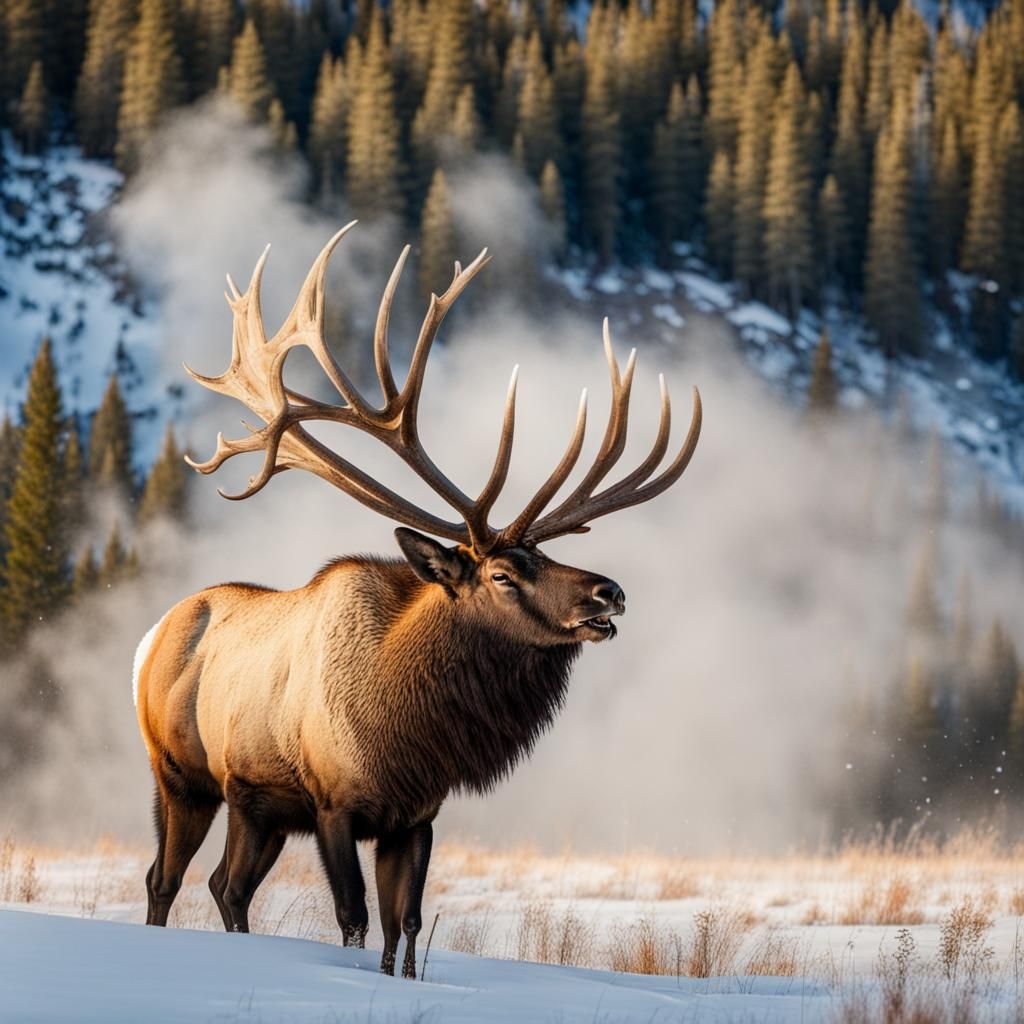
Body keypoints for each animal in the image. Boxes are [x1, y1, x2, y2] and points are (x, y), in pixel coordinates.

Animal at [133, 222, 701, 979]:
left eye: (548, 555)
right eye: (501, 574)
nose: (609, 592)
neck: (409, 732)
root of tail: (150, 637)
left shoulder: (416, 818)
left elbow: (404, 924)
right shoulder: (334, 803)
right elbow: (353, 919)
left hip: (258, 807)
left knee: (228, 886)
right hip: (180, 774)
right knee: (165, 878)